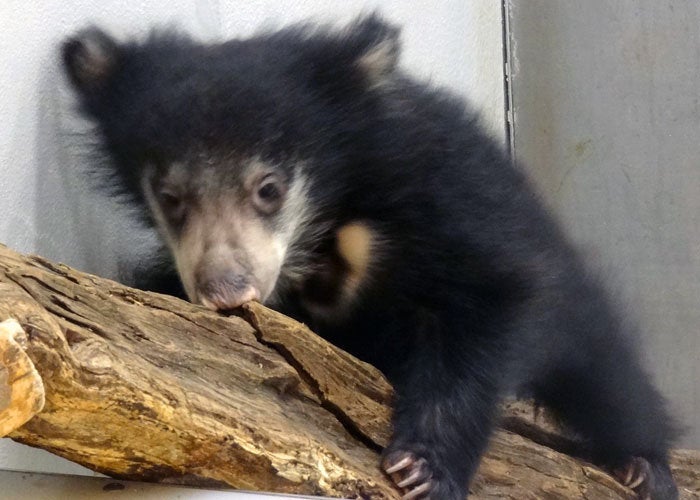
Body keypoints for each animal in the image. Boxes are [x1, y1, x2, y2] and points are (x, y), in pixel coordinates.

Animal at [61, 15, 679, 499]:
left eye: (268, 189)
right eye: (170, 198)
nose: (226, 291)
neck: (327, 219)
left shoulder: (442, 191)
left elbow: (491, 296)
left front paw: (421, 470)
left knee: (608, 379)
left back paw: (643, 467)